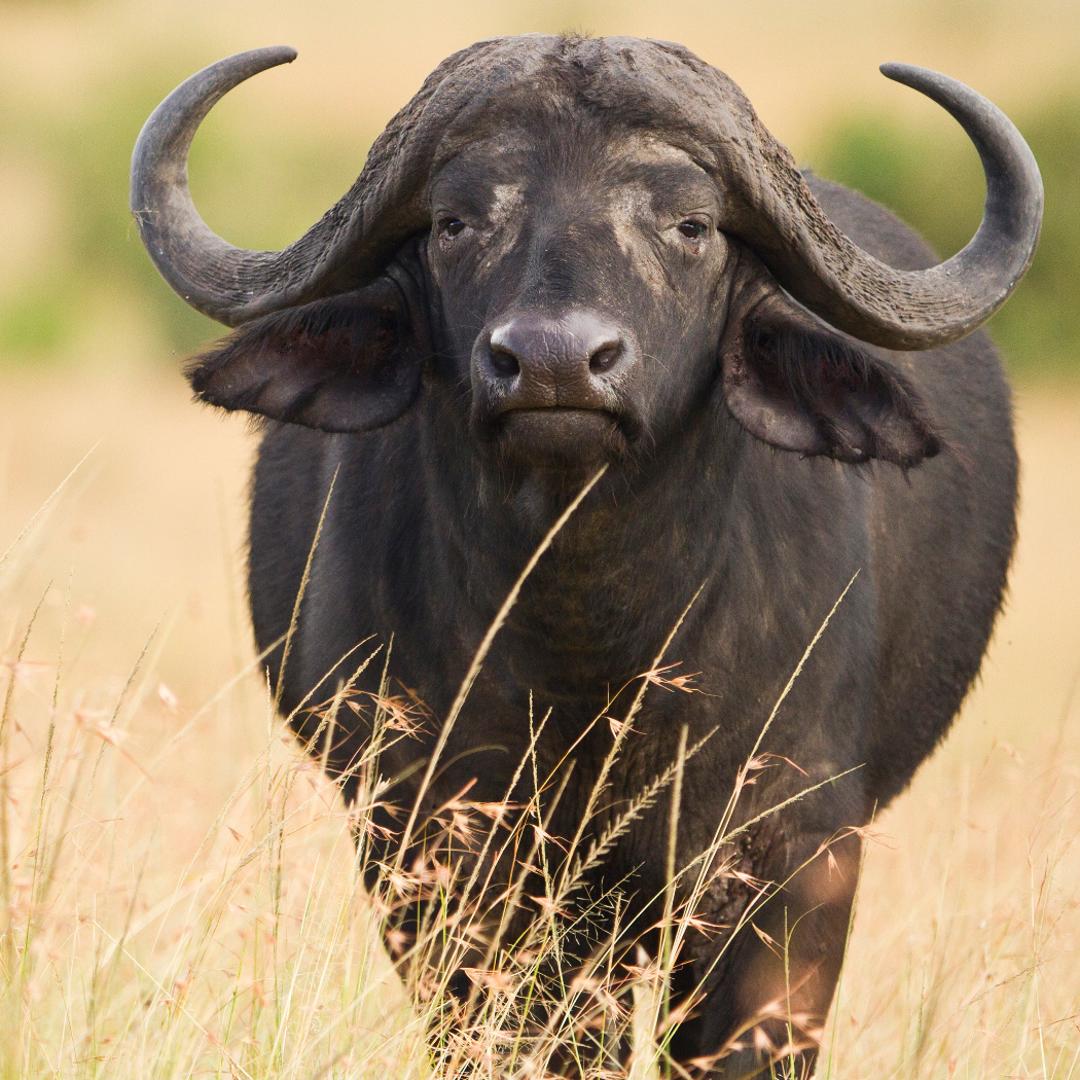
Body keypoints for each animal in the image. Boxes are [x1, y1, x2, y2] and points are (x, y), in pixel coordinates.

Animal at [132, 35, 1041, 1078]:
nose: (555, 362)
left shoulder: (793, 856)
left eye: (691, 225)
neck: (588, 645)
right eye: (455, 222)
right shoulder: (430, 847)